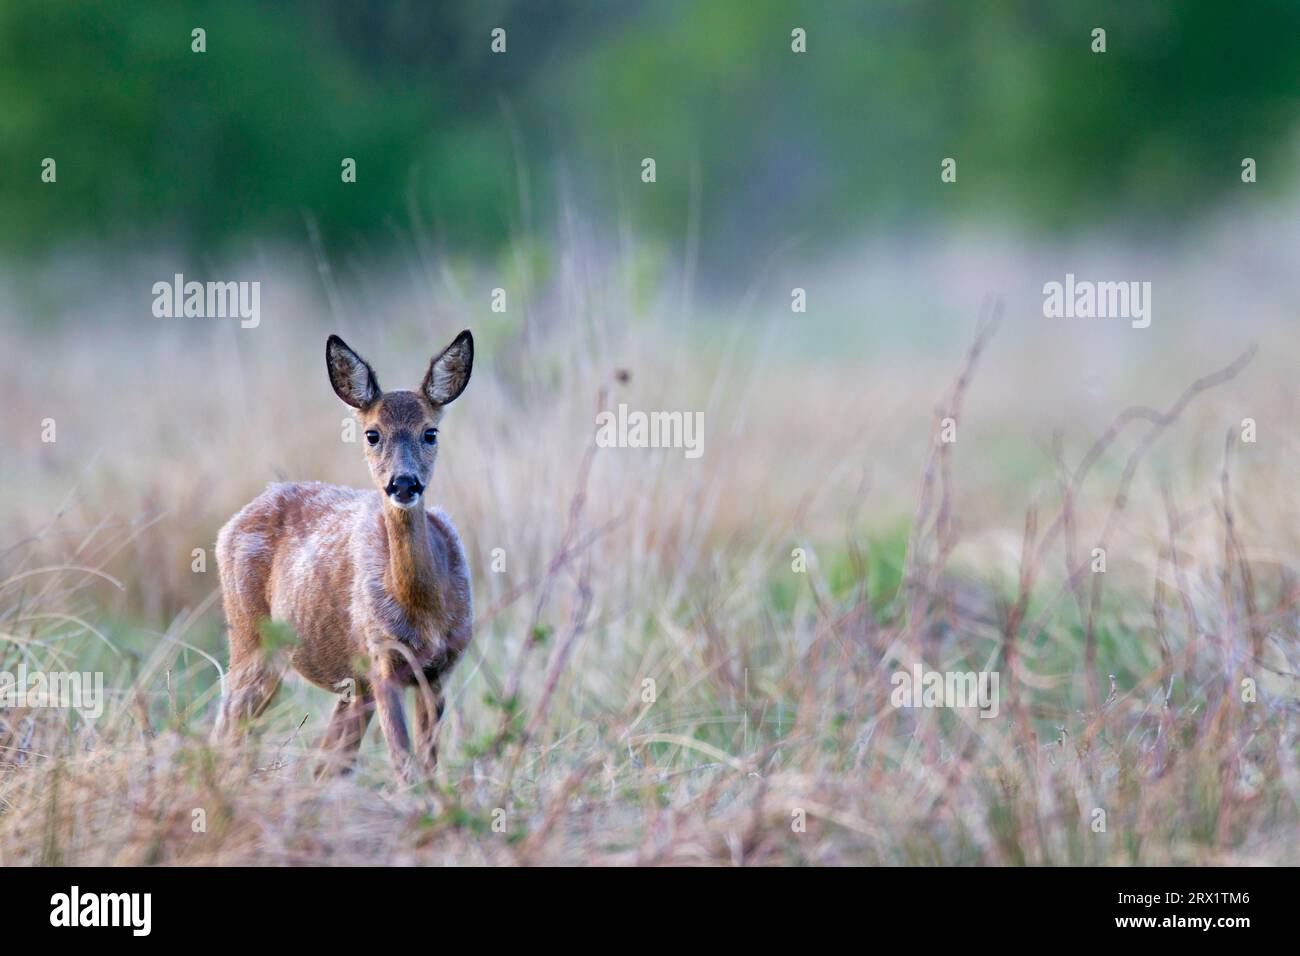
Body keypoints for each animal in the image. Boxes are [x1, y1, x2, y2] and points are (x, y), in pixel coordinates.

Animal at [211, 330, 474, 783]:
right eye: (372, 434)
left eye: (430, 432)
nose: (403, 484)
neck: (422, 608)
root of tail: (228, 527)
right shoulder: (382, 656)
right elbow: (404, 762)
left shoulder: (438, 669)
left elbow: (426, 764)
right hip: (250, 638)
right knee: (227, 728)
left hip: (347, 684)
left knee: (327, 761)